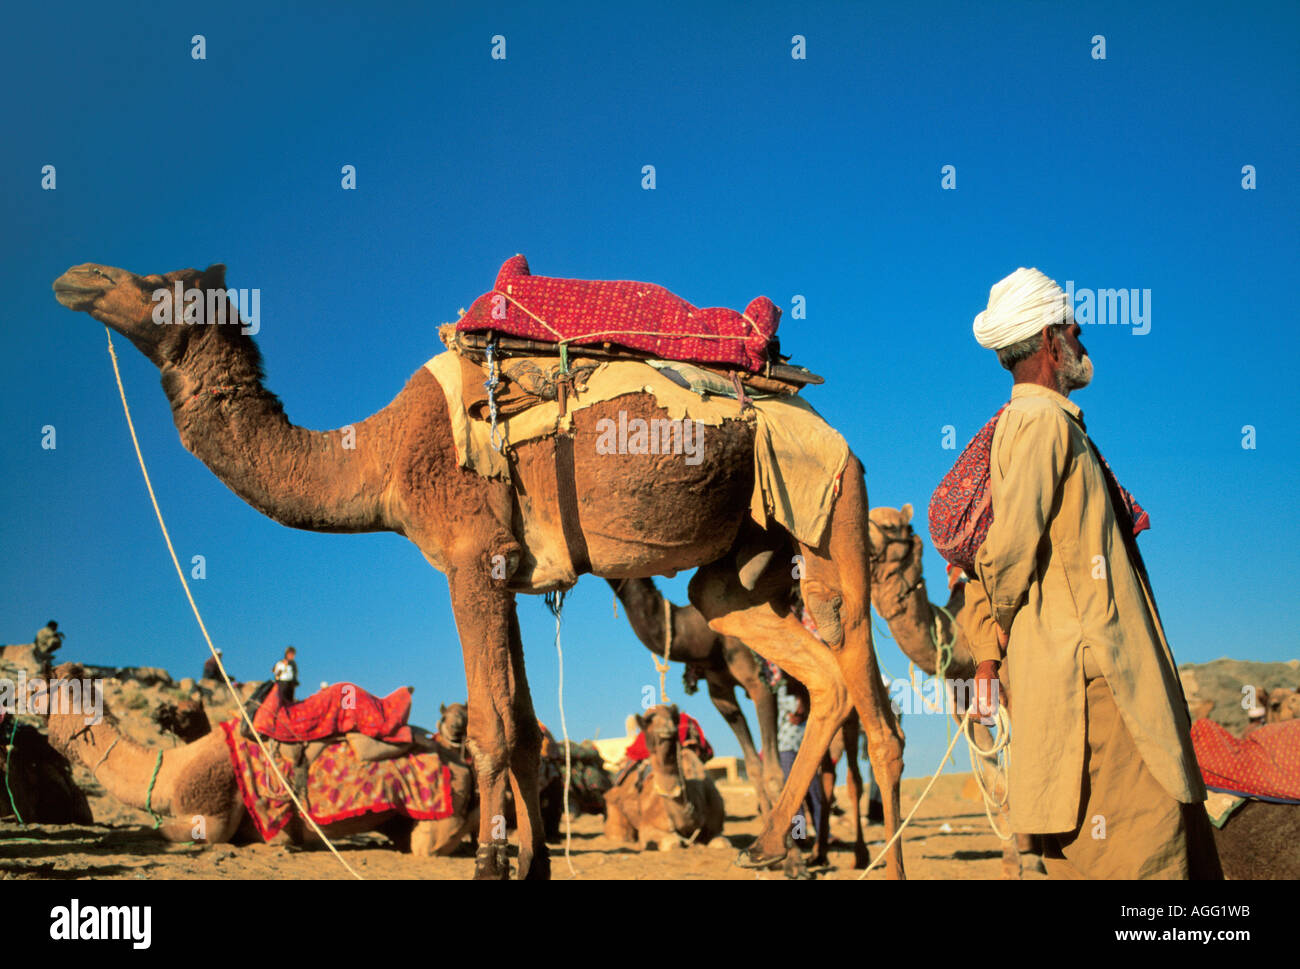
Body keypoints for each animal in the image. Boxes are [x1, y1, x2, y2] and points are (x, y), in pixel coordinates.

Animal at [603, 704, 725, 848]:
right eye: (646, 723)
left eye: (672, 718)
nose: (666, 728)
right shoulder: (648, 826)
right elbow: (671, 842)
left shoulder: (716, 827)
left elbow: (722, 843)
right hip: (613, 804)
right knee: (618, 834)